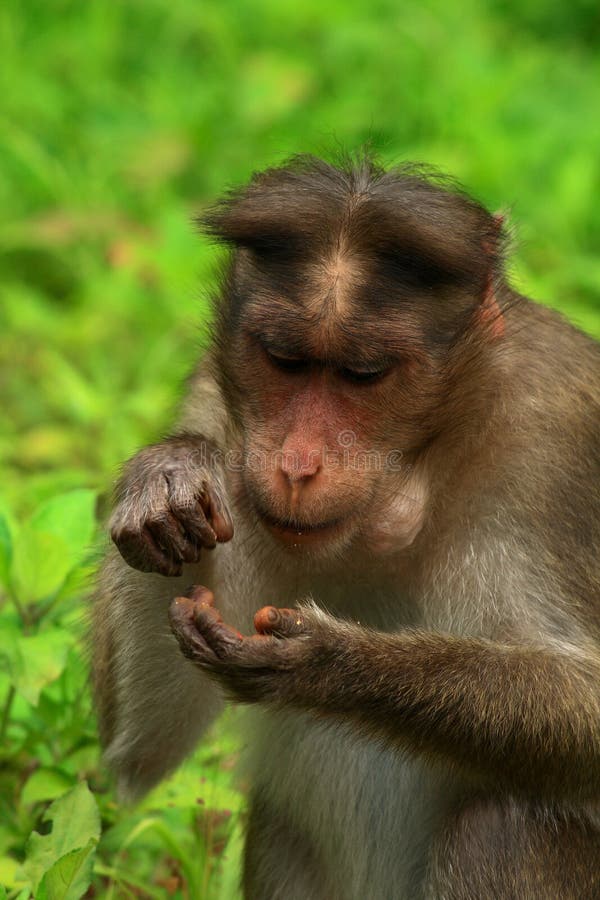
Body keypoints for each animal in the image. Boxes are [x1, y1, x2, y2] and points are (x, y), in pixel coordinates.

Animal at [93, 155, 600, 899]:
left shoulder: (559, 445)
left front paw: (328, 664)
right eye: (284, 360)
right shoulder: (215, 398)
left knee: (502, 826)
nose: (297, 463)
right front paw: (168, 481)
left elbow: (589, 702)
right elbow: (138, 753)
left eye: (364, 374)